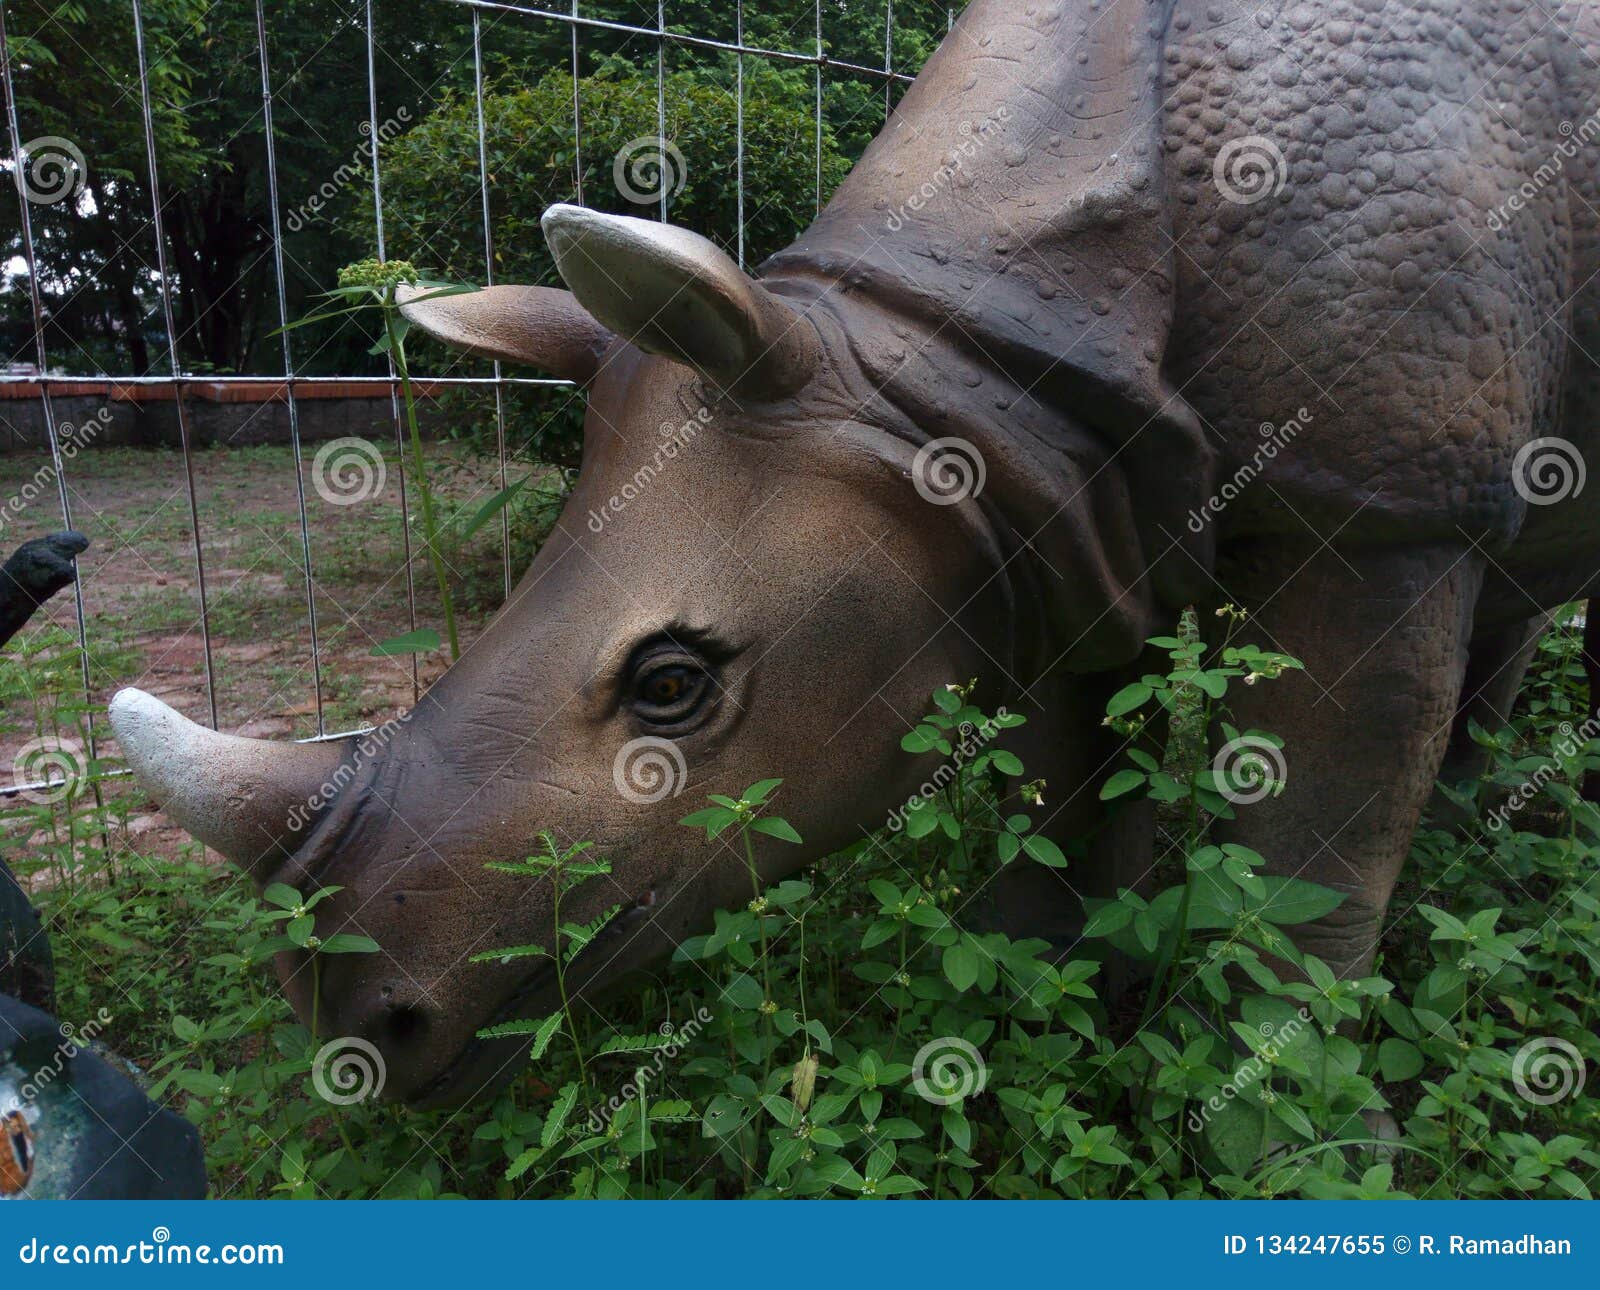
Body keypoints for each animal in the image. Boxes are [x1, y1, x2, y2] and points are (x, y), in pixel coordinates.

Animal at [109, 0, 1600, 1106]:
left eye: (672, 685)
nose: (355, 1033)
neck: (938, 361)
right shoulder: (1032, 503)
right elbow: (1055, 793)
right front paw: (1029, 1030)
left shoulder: (1386, 499)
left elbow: (1312, 845)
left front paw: (1276, 1111)